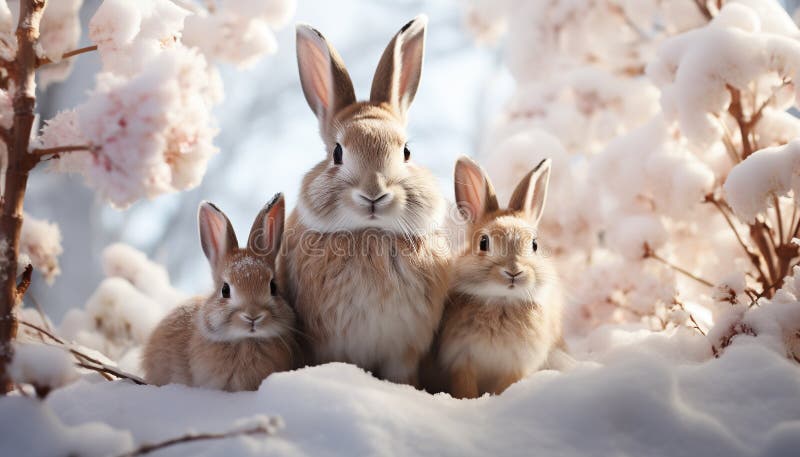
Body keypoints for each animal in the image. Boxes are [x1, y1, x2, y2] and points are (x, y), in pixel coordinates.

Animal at [437, 157, 565, 399]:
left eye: (535, 244)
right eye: (483, 243)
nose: (513, 271)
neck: (502, 301)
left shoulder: (516, 364)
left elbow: (506, 385)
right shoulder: (461, 360)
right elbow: (464, 387)